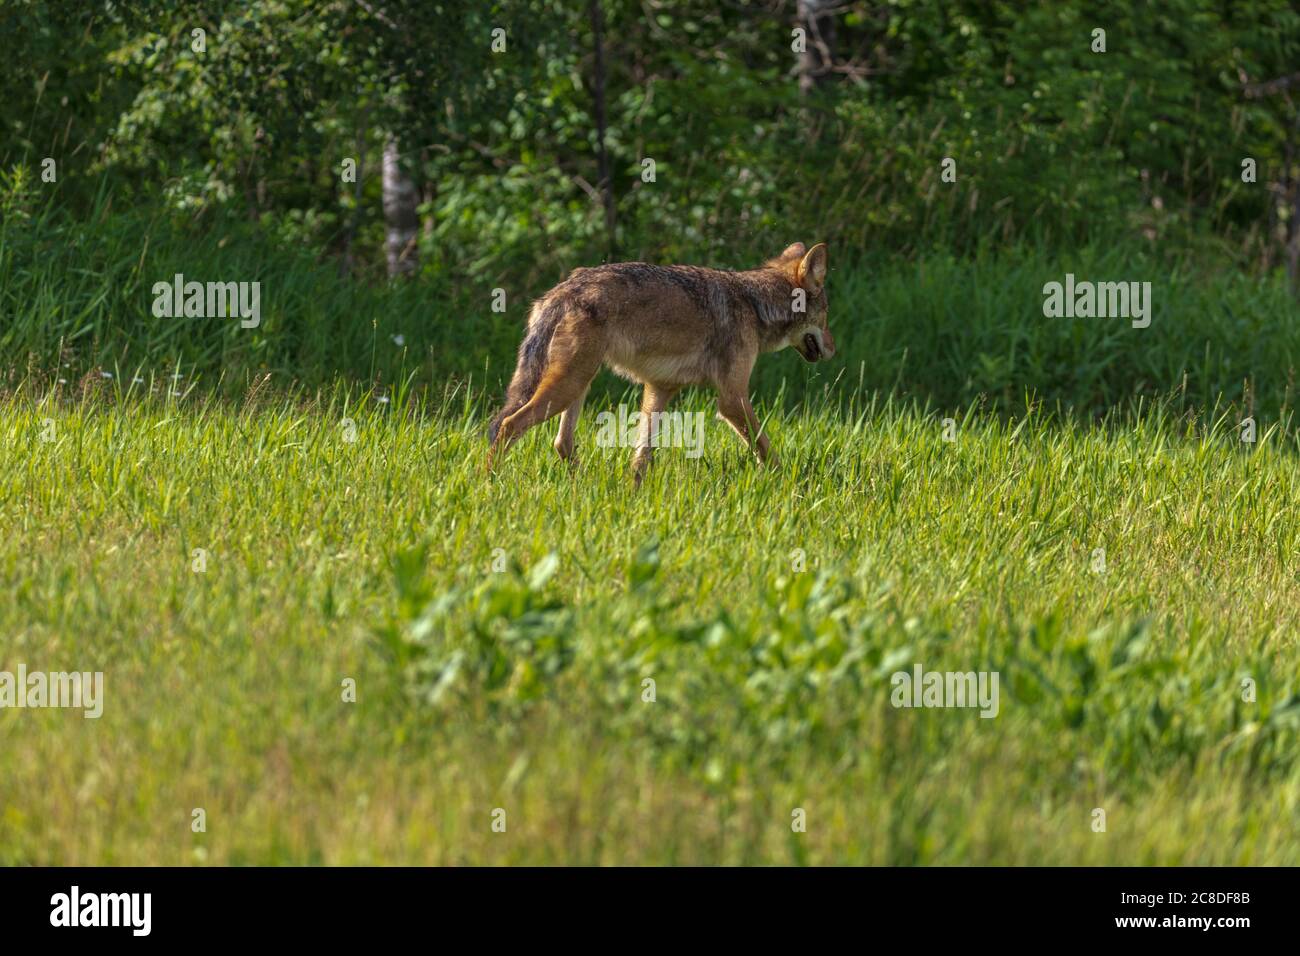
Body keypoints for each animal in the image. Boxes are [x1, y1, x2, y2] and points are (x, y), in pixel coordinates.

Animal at [487, 241, 835, 481]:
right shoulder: (732, 399)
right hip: (567, 386)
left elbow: (642, 456)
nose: (834, 350)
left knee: (561, 442)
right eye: (827, 314)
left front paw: (633, 494)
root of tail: (561, 293)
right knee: (508, 424)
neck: (754, 303)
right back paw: (490, 482)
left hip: (578, 384)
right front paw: (788, 482)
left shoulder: (659, 389)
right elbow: (766, 448)